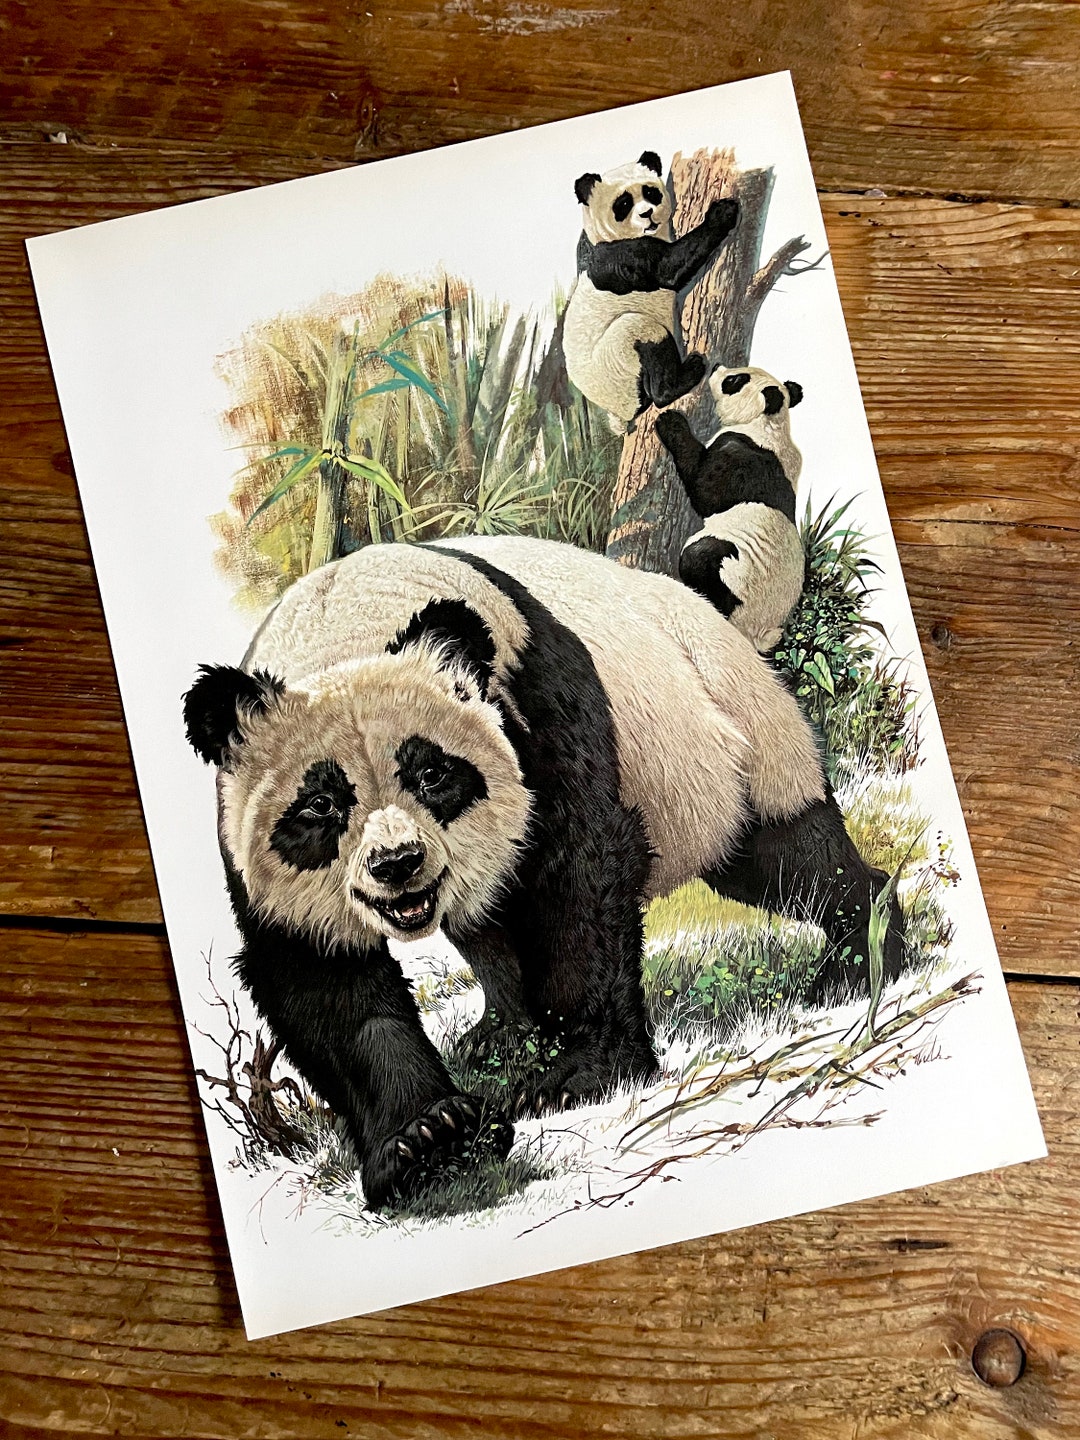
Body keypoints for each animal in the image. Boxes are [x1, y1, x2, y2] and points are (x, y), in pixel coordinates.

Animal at [183, 535, 904, 1208]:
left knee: (784, 856)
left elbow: (580, 871)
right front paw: (430, 1141)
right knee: (490, 926)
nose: (397, 865)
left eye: (433, 774)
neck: (347, 630)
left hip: (727, 729)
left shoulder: (534, 702)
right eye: (322, 804)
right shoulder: (254, 838)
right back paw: (501, 1037)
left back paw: (858, 959)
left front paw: (576, 1076)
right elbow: (323, 977)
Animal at [562, 151, 739, 434]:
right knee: (644, 335)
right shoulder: (621, 257)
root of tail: (618, 414)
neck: (599, 234)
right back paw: (684, 375)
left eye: (650, 192)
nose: (647, 214)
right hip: (617, 364)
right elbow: (668, 269)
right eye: (623, 203)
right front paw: (723, 212)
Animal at [656, 365, 806, 653]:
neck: (769, 423)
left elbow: (706, 490)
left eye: (734, 380)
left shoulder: (740, 454)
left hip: (734, 576)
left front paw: (670, 421)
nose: (716, 367)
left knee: (700, 557)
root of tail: (756, 635)